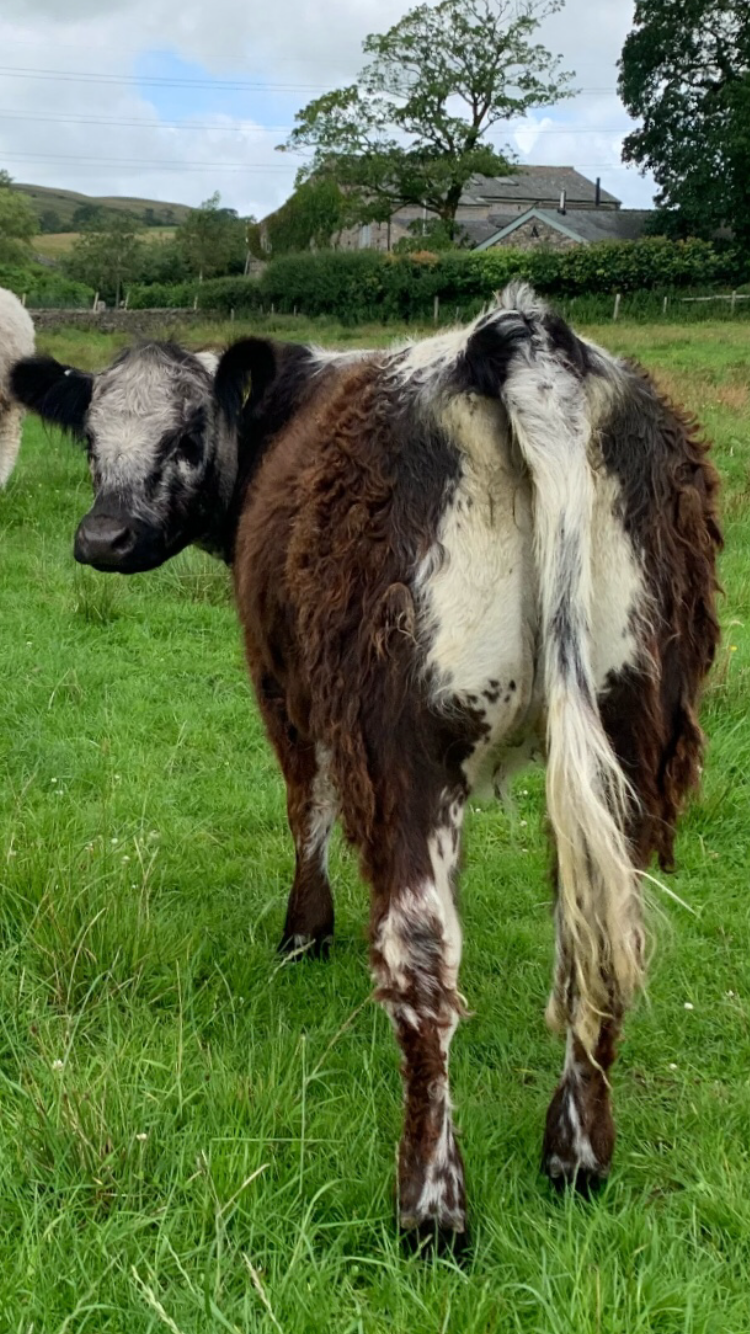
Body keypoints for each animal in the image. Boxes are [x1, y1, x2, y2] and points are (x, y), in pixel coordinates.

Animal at [10, 285, 721, 1246]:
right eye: (91, 437)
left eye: (189, 434)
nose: (104, 537)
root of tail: (518, 338)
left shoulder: (282, 679)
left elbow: (303, 804)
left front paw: (303, 932)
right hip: (633, 739)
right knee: (602, 938)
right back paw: (577, 1156)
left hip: (406, 742)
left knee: (422, 959)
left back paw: (432, 1211)